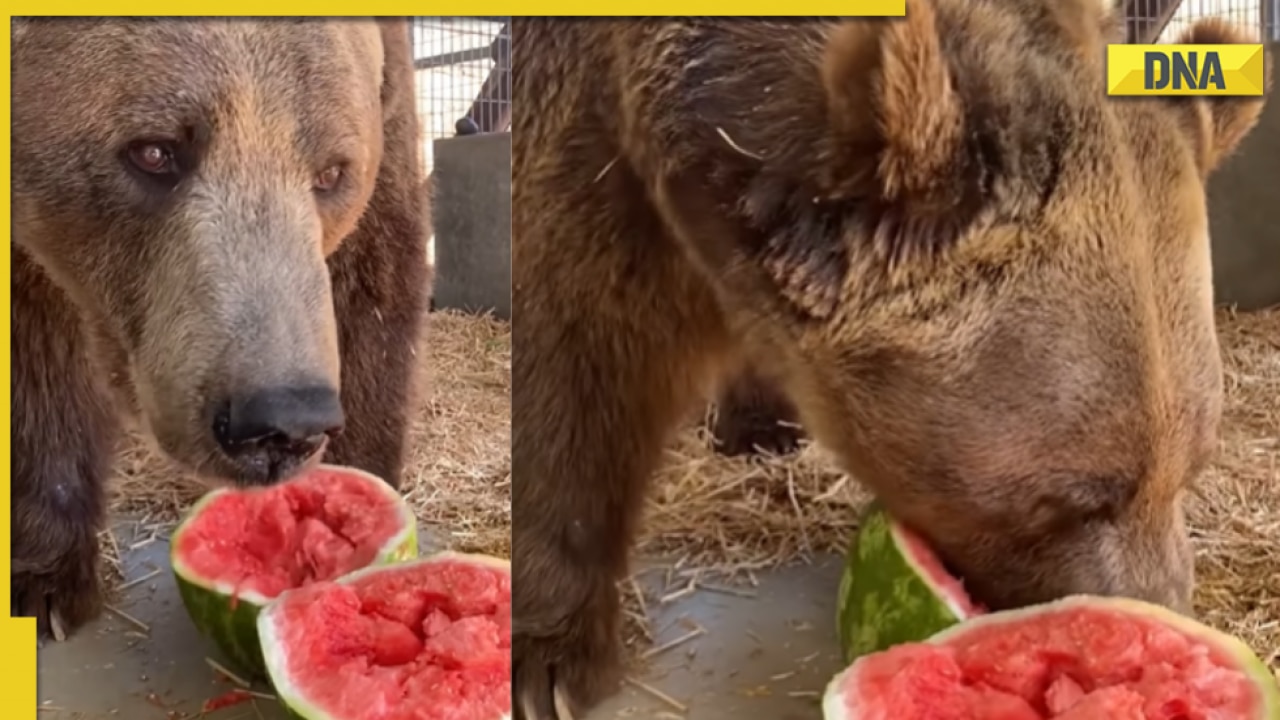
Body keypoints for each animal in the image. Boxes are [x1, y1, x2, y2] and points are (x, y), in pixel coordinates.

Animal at [11, 17, 430, 641]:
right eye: (154, 151)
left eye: (331, 172)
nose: (281, 422)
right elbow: (36, 359)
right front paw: (46, 583)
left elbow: (371, 292)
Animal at [510, 2, 1269, 717]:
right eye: (1076, 497)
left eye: (1193, 464)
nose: (1155, 610)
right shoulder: (597, 132)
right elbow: (578, 353)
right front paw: (548, 661)